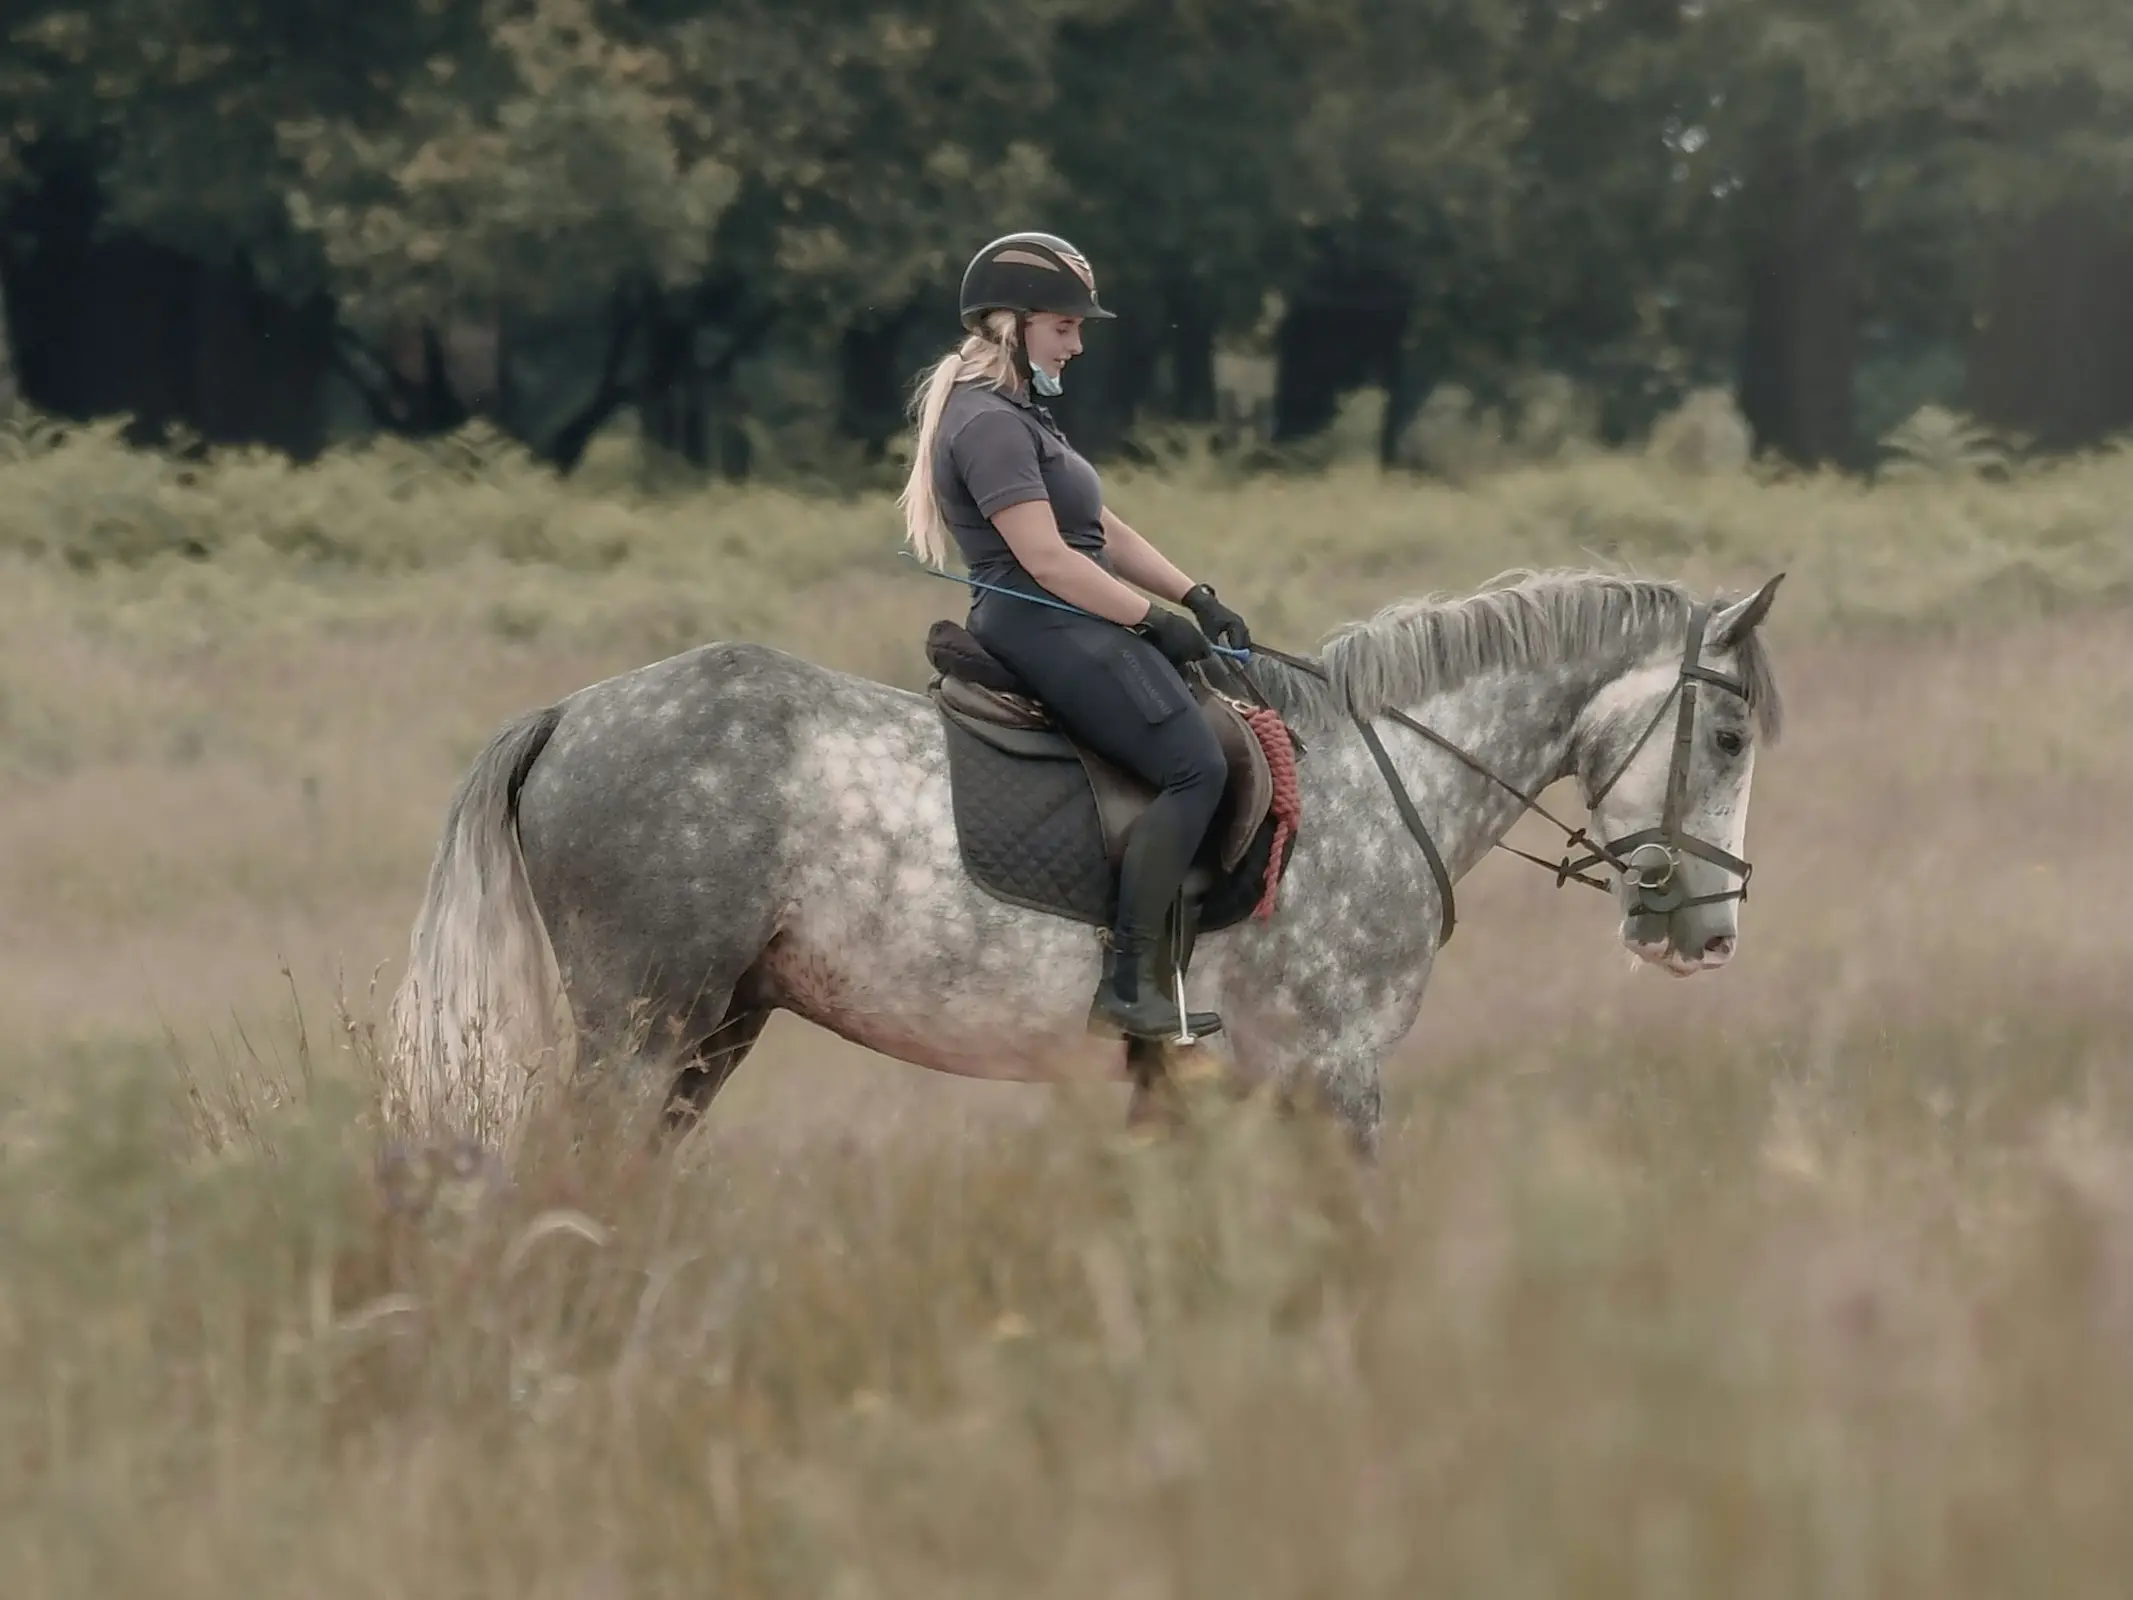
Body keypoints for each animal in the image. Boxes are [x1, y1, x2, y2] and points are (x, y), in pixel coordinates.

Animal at [386, 567, 1786, 1156]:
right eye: (1726, 735)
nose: (1711, 935)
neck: (1377, 780)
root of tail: (572, 712)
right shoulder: (1335, 1076)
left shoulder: (1188, 1088)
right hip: (643, 1026)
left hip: (711, 1029)